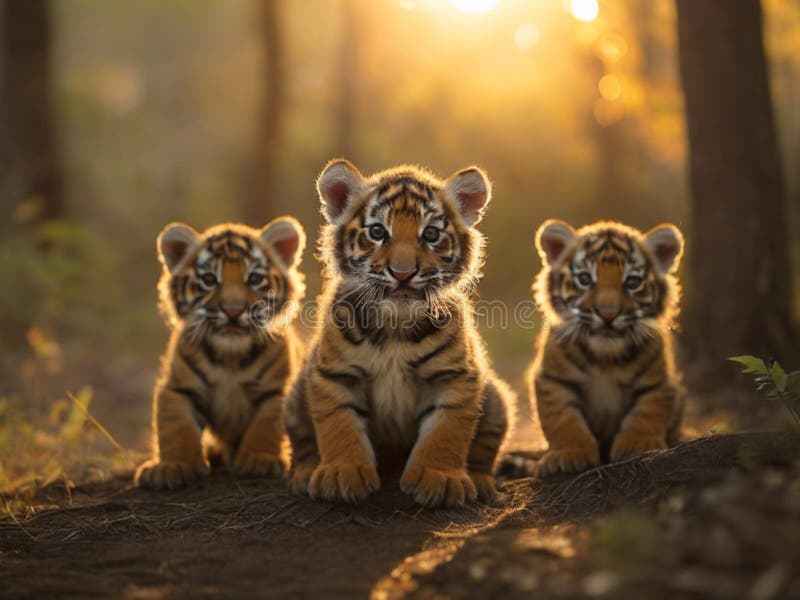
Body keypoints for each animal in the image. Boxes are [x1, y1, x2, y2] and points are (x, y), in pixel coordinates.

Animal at [134, 217, 306, 490]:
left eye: (255, 278)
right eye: (208, 279)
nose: (233, 311)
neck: (230, 357)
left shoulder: (277, 389)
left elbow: (266, 425)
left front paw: (260, 460)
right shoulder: (177, 388)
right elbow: (175, 427)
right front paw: (173, 466)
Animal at [283, 159, 515, 507]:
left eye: (431, 234)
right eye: (378, 232)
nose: (403, 273)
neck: (395, 324)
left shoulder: (454, 376)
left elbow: (446, 431)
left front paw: (439, 479)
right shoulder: (335, 375)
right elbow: (338, 426)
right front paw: (342, 474)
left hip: (497, 399)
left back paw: (480, 480)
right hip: (296, 395)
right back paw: (306, 473)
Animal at [529, 219, 685, 477]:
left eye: (632, 282)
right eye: (584, 279)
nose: (608, 314)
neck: (605, 357)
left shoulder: (658, 382)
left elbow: (646, 414)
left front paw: (638, 445)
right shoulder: (553, 380)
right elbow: (562, 419)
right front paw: (569, 455)